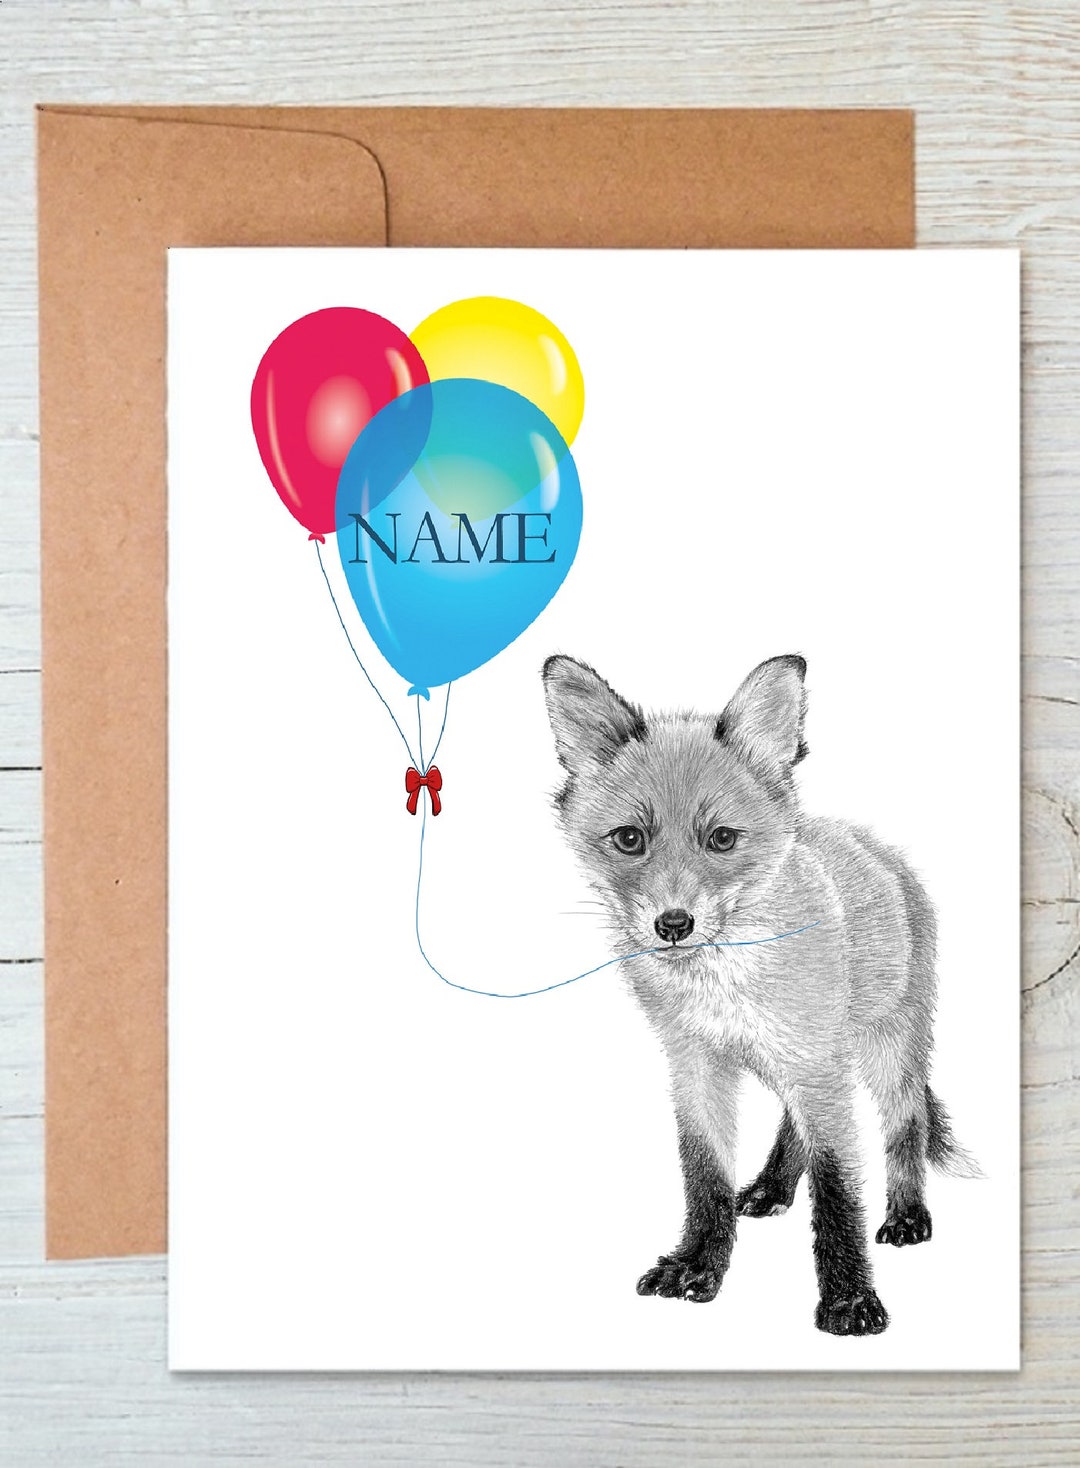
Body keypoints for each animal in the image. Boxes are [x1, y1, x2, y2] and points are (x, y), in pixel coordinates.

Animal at [542, 651, 978, 1337]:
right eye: (629, 839)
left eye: (722, 839)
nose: (673, 924)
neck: (722, 986)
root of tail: (873, 844)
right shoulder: (697, 1064)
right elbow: (705, 1179)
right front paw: (698, 1265)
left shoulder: (816, 1066)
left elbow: (838, 1195)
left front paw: (849, 1300)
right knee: (795, 1127)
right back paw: (773, 1188)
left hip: (879, 1051)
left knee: (904, 1121)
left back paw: (908, 1214)